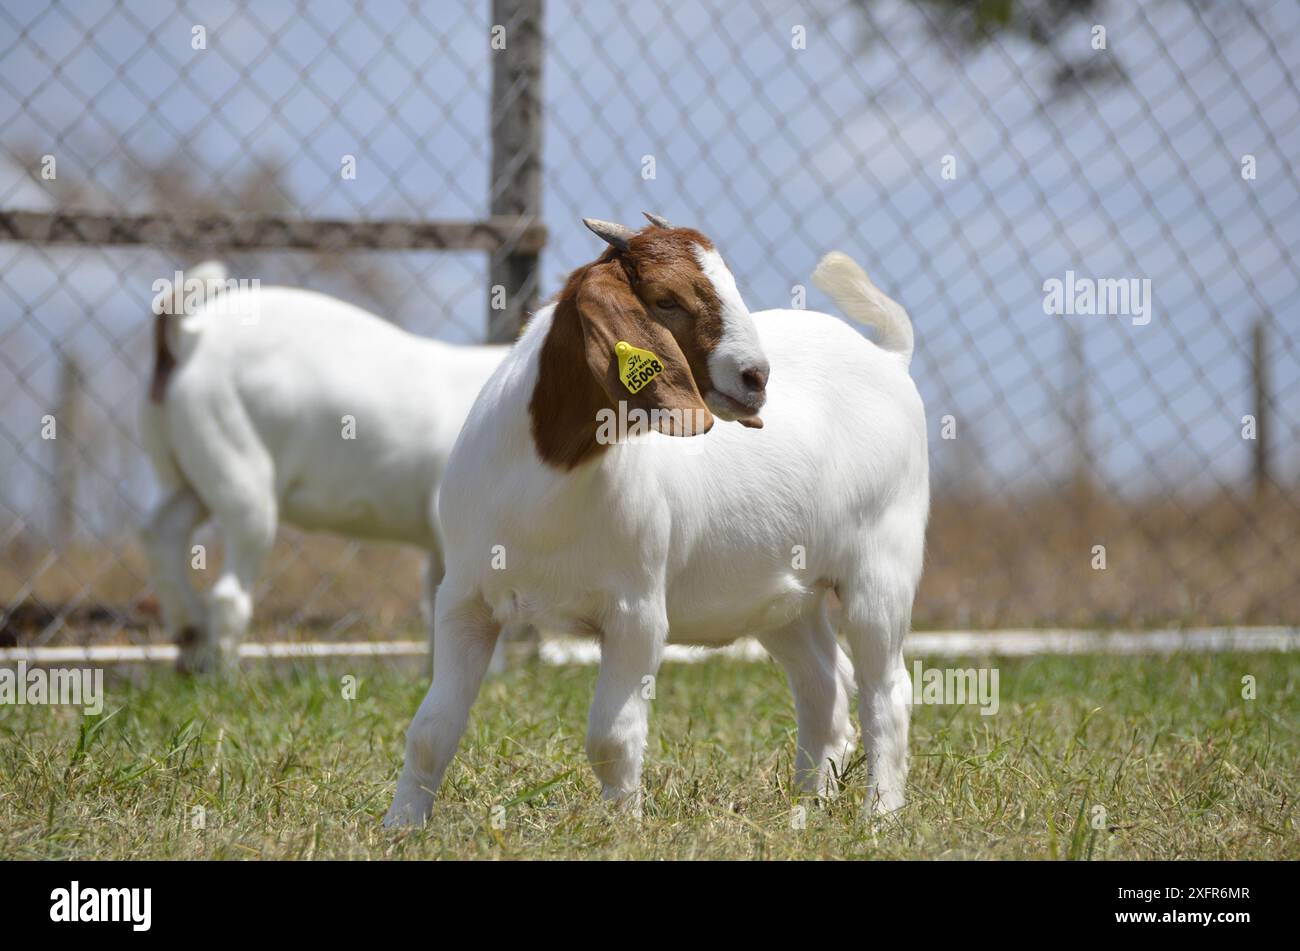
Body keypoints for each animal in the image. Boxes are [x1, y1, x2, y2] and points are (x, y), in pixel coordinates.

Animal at [140, 262, 509, 672]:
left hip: (186, 474)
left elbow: (436, 599)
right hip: (240, 474)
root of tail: (188, 337)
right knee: (228, 595)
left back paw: (188, 632)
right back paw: (223, 675)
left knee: (162, 532)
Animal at [385, 215, 928, 825]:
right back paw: (805, 807)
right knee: (824, 687)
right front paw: (400, 827)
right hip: (785, 597)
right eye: (667, 299)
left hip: (883, 564)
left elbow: (611, 738)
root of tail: (889, 357)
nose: (756, 377)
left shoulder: (637, 609)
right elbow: (431, 729)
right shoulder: (465, 598)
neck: (553, 475)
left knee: (887, 691)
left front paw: (622, 826)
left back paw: (878, 816)